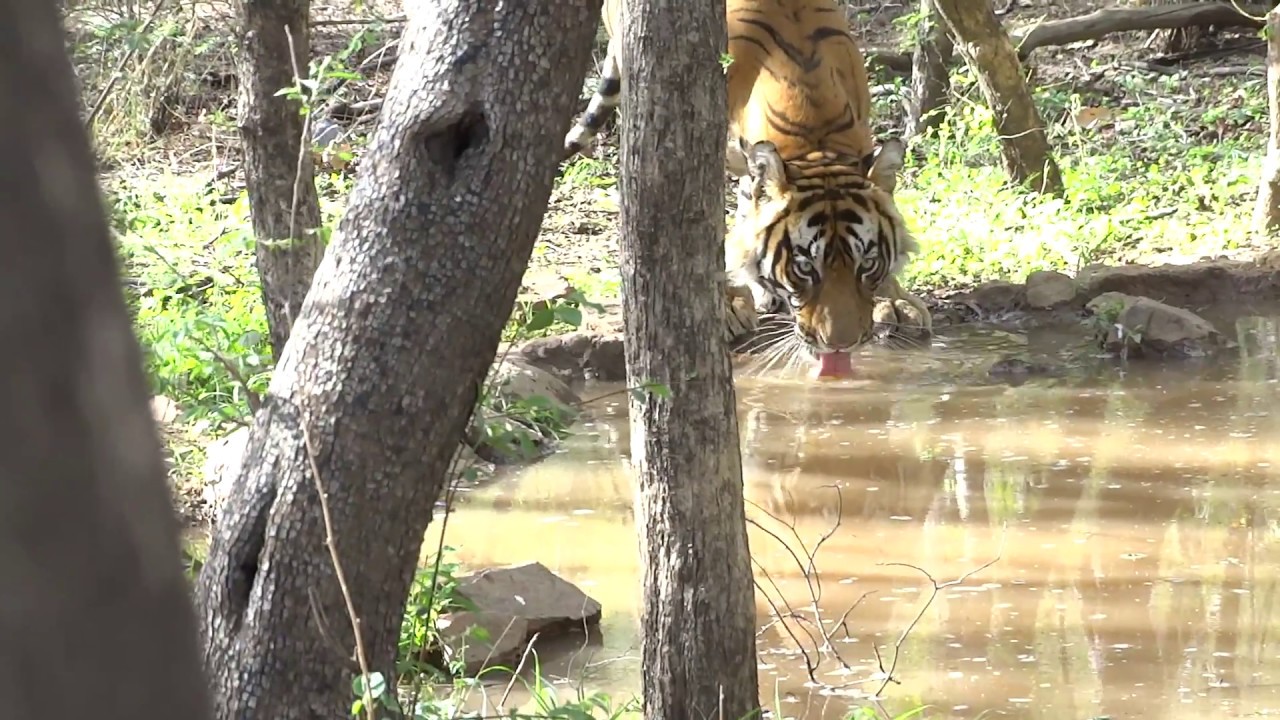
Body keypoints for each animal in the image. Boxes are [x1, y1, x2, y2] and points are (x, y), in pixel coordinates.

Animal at [563, 0, 932, 378]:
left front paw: (894, 303)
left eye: (868, 263)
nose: (840, 346)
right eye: (804, 268)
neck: (814, 136)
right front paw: (726, 304)